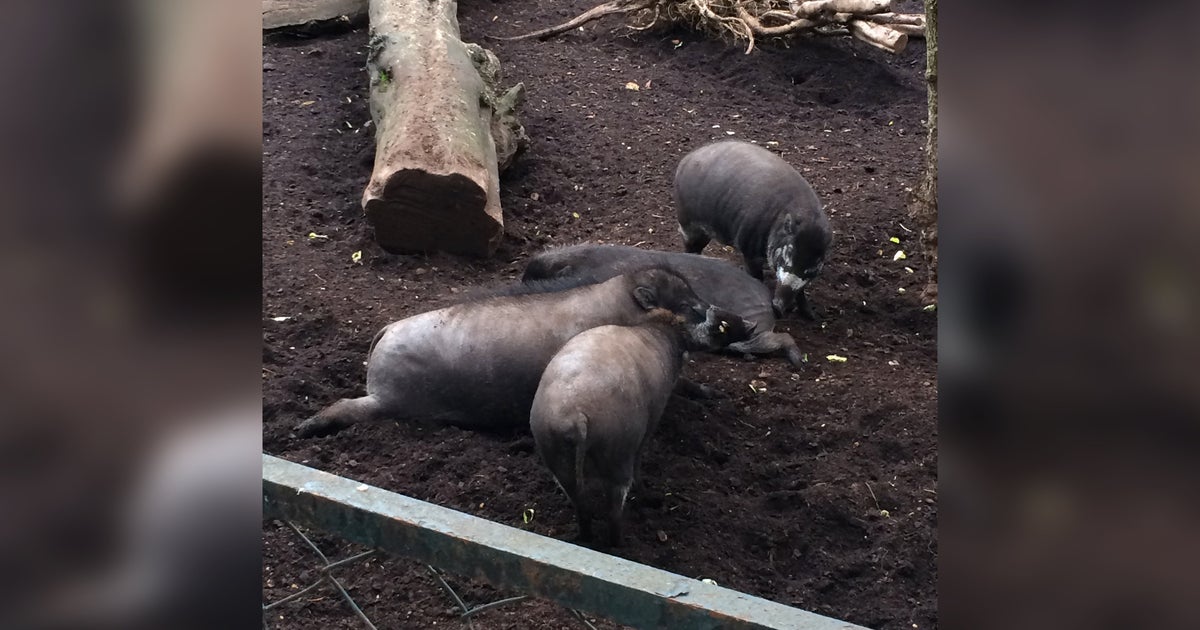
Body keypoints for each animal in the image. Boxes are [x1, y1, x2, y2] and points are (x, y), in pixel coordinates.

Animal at [294, 267, 750, 438]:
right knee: (346, 407)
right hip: (386, 399)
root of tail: (385, 330)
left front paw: (711, 395)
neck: (622, 306)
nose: (742, 323)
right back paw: (302, 430)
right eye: (690, 305)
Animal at [530, 307, 753, 546]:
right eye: (726, 321)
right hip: (618, 458)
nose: (751, 326)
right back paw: (619, 543)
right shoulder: (649, 425)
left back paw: (586, 538)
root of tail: (576, 417)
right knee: (614, 509)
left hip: (561, 467)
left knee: (581, 506)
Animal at [674, 139, 833, 319]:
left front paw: (812, 316)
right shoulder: (749, 250)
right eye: (788, 254)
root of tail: (686, 160)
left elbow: (801, 289)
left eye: (814, 266)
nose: (778, 308)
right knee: (691, 248)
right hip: (689, 225)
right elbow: (757, 278)